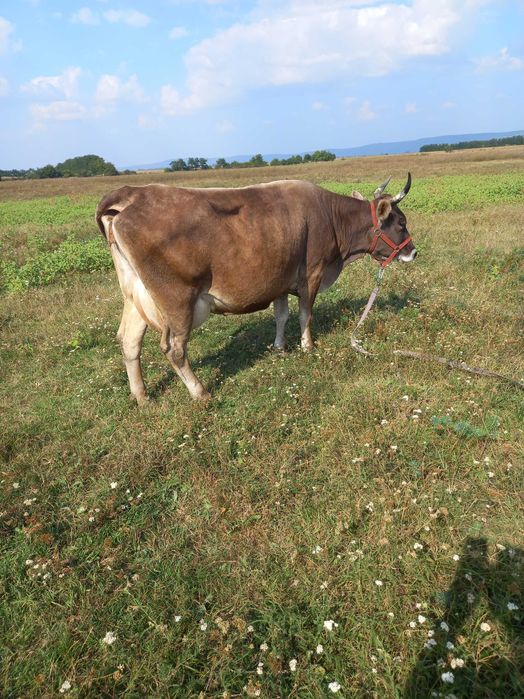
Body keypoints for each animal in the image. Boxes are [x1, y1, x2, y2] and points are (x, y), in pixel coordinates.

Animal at [96, 174, 415, 402]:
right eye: (401, 222)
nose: (413, 252)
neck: (332, 218)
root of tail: (132, 194)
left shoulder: (280, 279)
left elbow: (282, 315)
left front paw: (279, 347)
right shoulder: (312, 273)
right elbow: (305, 314)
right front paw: (308, 346)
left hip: (135, 296)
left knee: (129, 340)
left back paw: (142, 397)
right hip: (177, 300)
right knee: (174, 350)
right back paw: (200, 393)